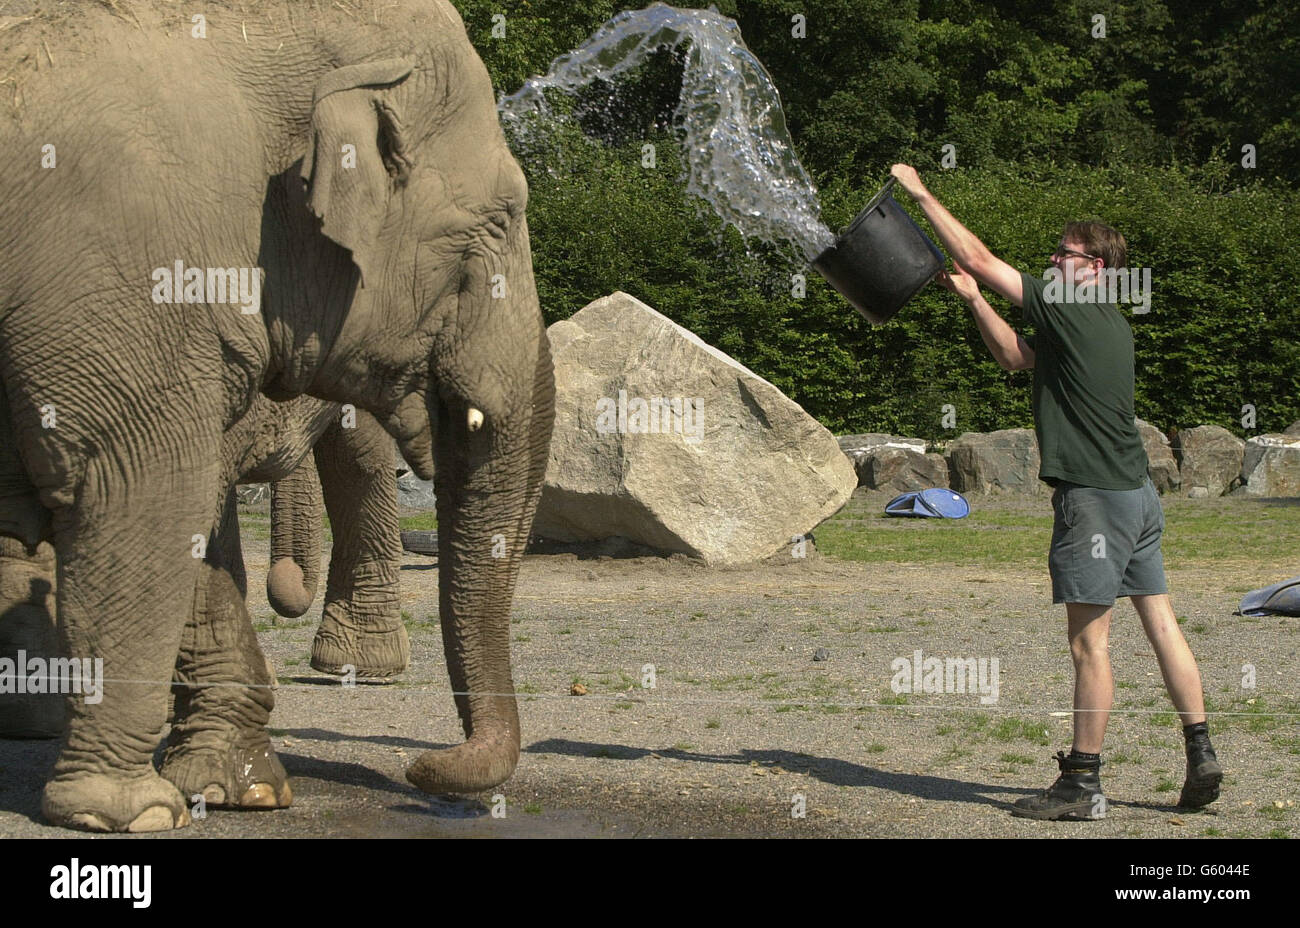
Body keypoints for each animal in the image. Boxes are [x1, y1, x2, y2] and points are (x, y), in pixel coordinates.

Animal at [0, 0, 554, 831]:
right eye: (500, 219)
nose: (423, 768)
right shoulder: (119, 266)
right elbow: (144, 488)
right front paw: (134, 811)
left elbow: (191, 509)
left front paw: (241, 788)